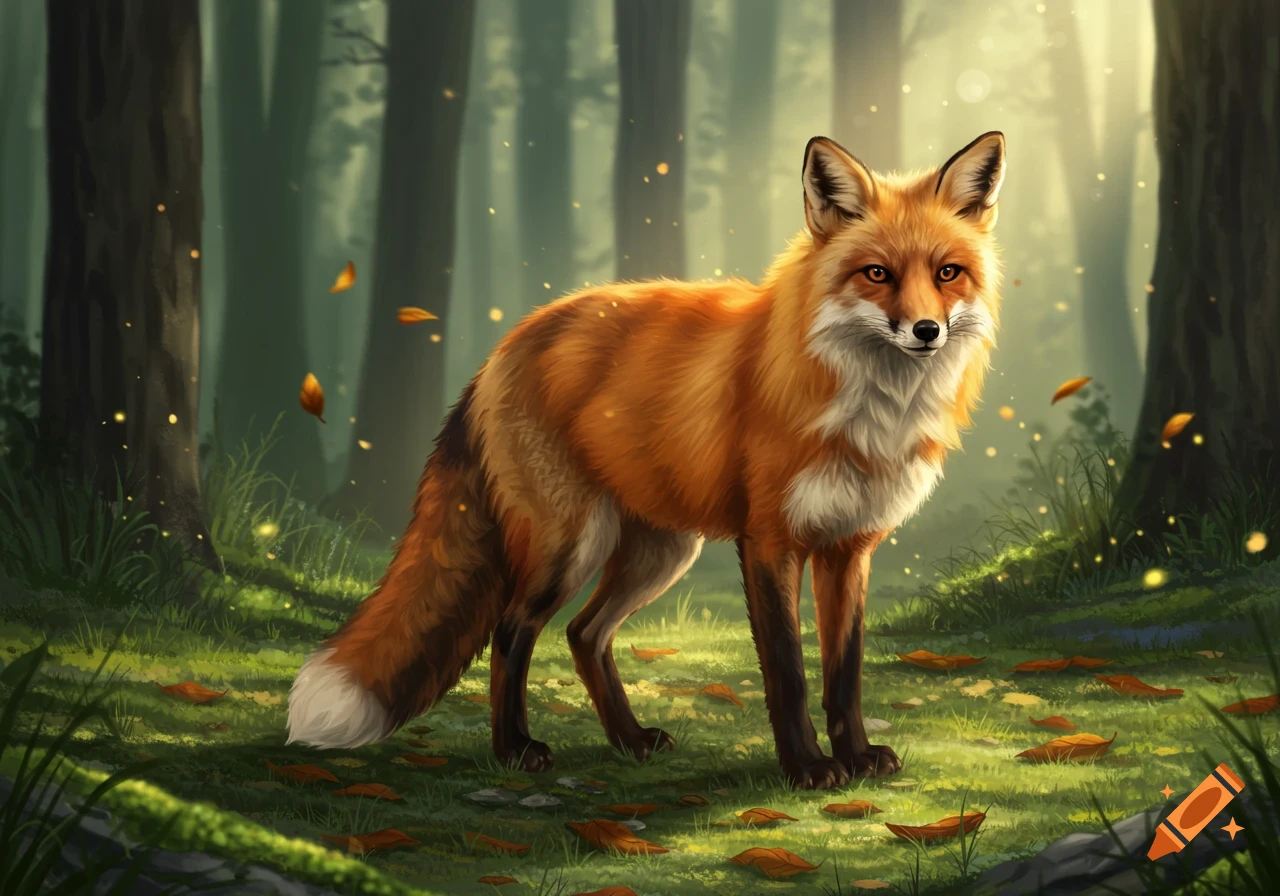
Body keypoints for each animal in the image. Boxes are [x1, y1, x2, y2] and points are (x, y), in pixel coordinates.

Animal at [287, 131, 1006, 791]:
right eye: (877, 274)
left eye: (947, 273)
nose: (926, 331)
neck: (867, 409)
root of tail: (507, 343)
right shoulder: (770, 541)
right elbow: (788, 673)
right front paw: (806, 767)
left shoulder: (849, 546)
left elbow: (844, 674)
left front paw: (856, 758)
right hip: (571, 544)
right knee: (512, 629)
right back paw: (515, 749)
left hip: (661, 551)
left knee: (584, 634)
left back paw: (628, 740)